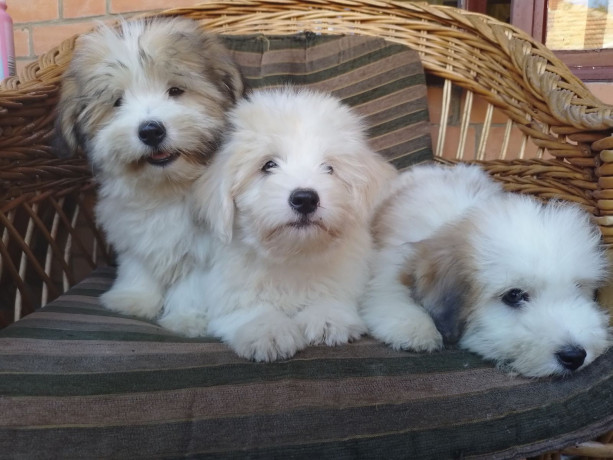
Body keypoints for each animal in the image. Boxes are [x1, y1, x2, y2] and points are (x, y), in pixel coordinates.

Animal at [53, 17, 243, 334]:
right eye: (117, 102)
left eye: (176, 90)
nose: (151, 130)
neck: (166, 187)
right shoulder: (131, 233)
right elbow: (138, 265)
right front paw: (134, 299)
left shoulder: (207, 250)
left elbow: (193, 283)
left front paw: (187, 318)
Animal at [189, 86, 400, 360]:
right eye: (268, 165)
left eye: (329, 168)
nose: (305, 199)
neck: (294, 255)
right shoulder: (229, 290)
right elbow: (248, 308)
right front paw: (268, 330)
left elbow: (333, 295)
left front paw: (327, 316)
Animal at [360, 164, 608, 376]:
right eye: (514, 296)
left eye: (577, 288)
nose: (575, 355)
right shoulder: (389, 267)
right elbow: (391, 294)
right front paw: (415, 327)